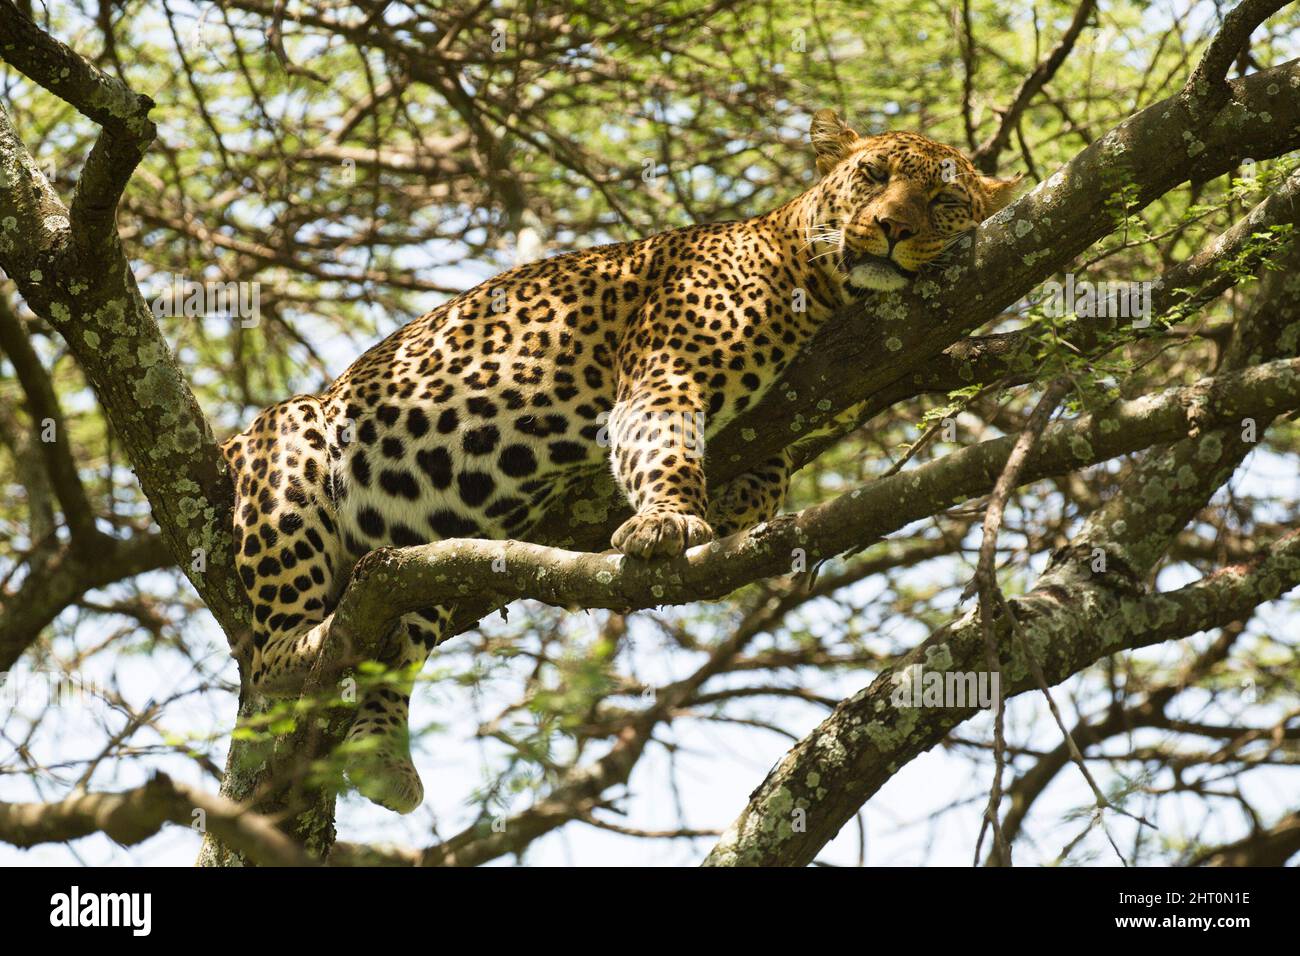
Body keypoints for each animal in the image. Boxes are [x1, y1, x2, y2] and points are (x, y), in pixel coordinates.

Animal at [219, 109, 1021, 813]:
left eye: (944, 201)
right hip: (294, 437)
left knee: (403, 623)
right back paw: (299, 652)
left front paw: (737, 501)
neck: (820, 288)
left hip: (422, 551)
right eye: (873, 175)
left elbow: (767, 478)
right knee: (274, 650)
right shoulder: (666, 369)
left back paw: (383, 754)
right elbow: (663, 443)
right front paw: (669, 520)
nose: (893, 228)